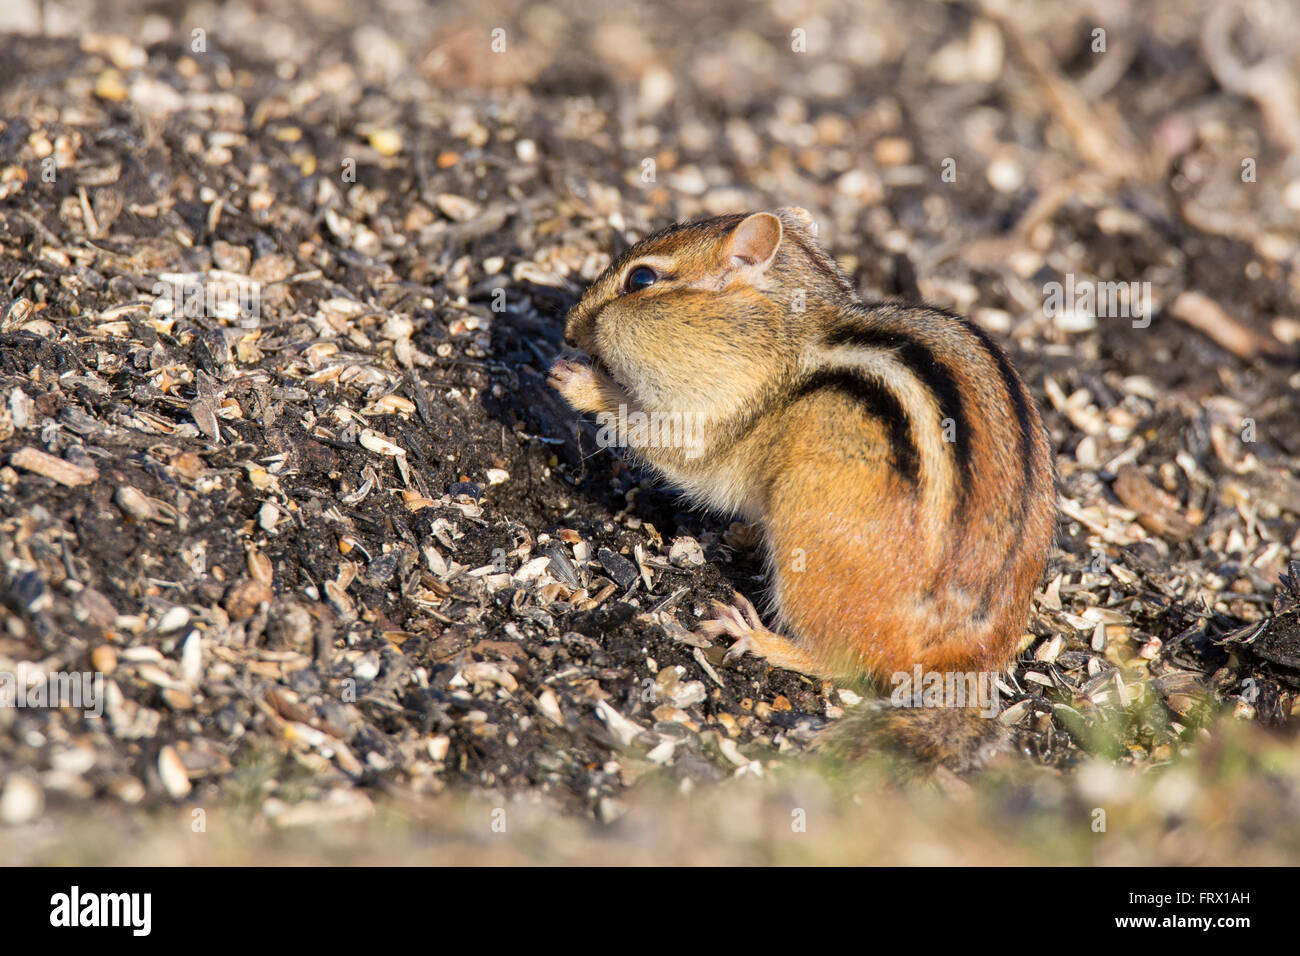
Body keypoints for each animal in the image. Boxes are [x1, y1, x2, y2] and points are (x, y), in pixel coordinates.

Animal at [548, 208, 1056, 775]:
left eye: (641, 280)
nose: (568, 329)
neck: (786, 344)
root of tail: (967, 662)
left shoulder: (710, 421)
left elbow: (667, 444)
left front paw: (581, 383)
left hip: (808, 551)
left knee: (840, 661)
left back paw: (753, 634)